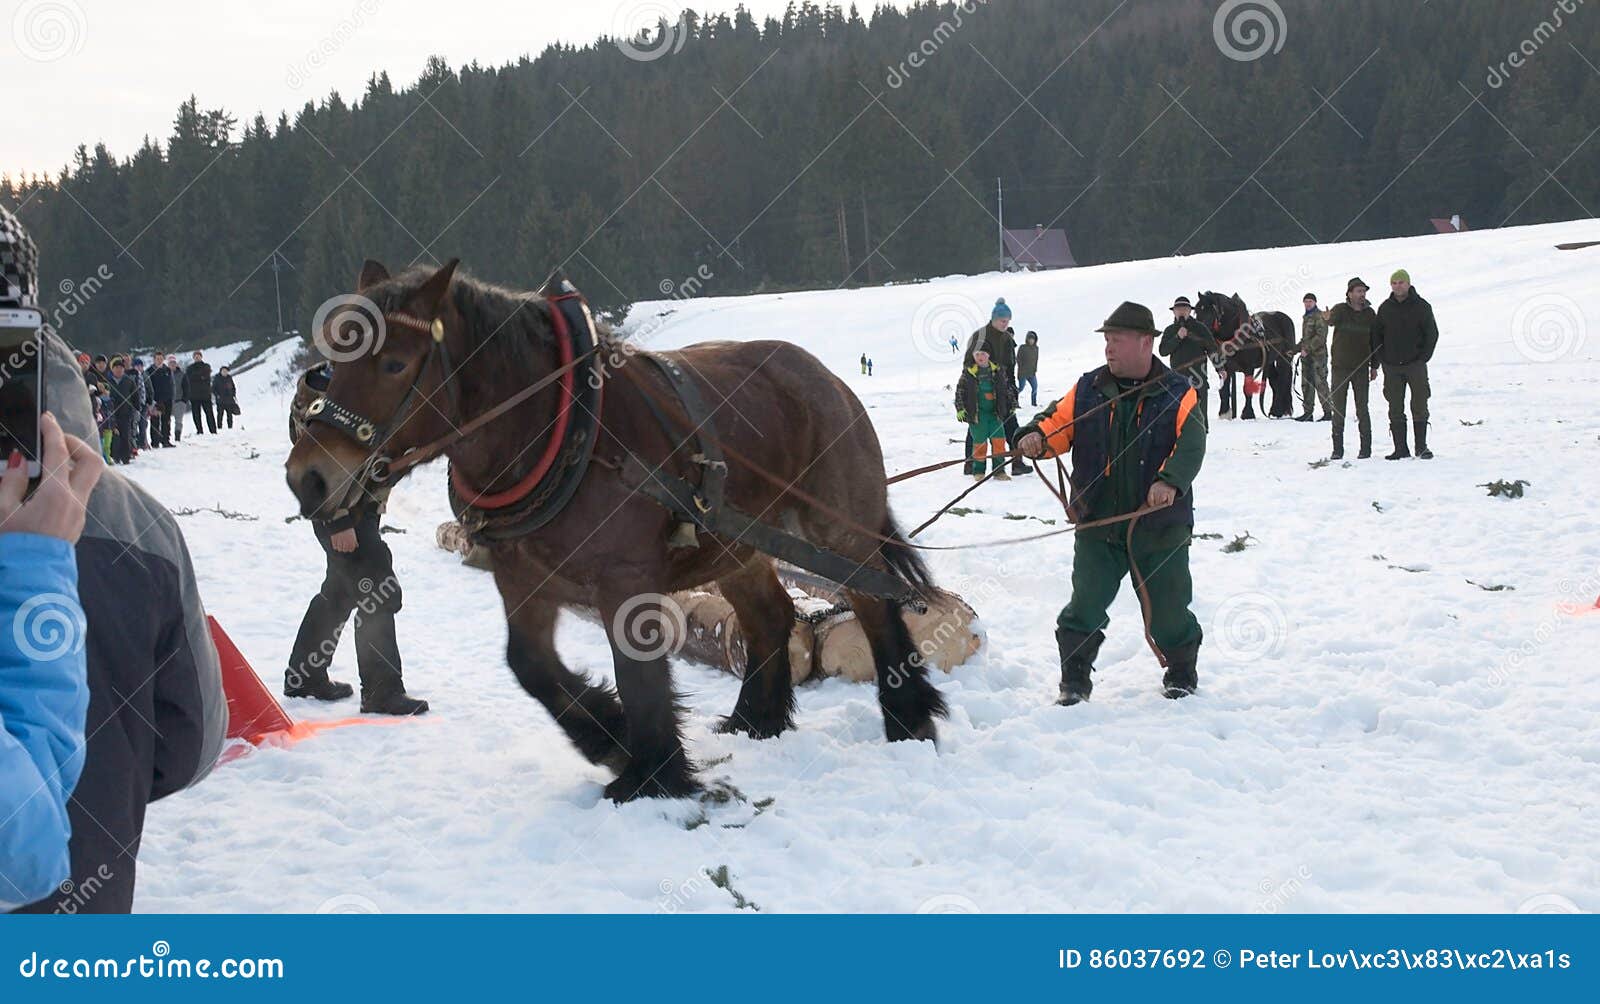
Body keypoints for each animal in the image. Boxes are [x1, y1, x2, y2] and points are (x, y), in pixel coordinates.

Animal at [284, 260, 947, 802]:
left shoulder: (625, 579)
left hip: (836, 529)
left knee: (874, 604)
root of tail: (825, 379)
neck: (562, 431)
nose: (308, 478)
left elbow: (638, 671)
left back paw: (908, 717)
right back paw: (757, 720)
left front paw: (652, 774)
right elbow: (528, 663)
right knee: (769, 617)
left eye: (395, 362)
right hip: (737, 545)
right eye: (330, 365)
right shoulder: (519, 577)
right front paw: (610, 739)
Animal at [1193, 291, 1296, 420]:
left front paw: (1247, 414)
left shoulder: (1249, 367)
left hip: (1284, 357)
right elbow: (1224, 391)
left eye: (1211, 310)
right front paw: (1224, 413)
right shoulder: (1224, 368)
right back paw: (1276, 410)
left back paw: (1278, 410)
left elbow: (1247, 389)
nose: (1199, 334)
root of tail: (1285, 317)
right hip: (1269, 361)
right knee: (1275, 382)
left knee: (1283, 380)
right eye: (1197, 310)